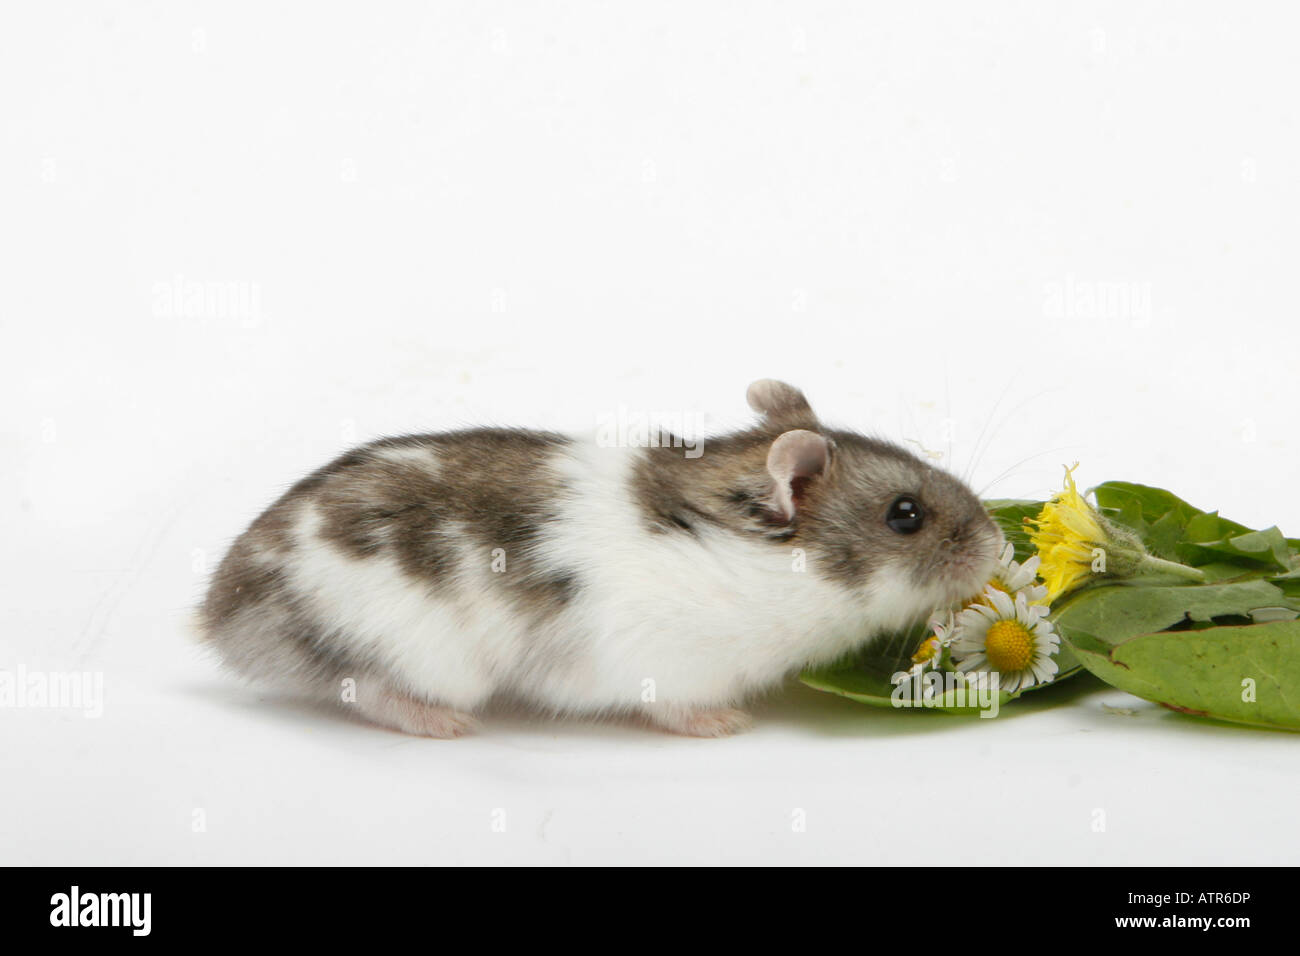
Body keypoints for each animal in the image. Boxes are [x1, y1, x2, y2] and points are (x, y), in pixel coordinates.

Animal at [197, 380, 1003, 737]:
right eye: (906, 515)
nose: (997, 544)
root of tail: (220, 615)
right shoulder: (670, 662)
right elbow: (678, 708)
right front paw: (729, 724)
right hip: (412, 648)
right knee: (369, 691)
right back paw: (448, 726)